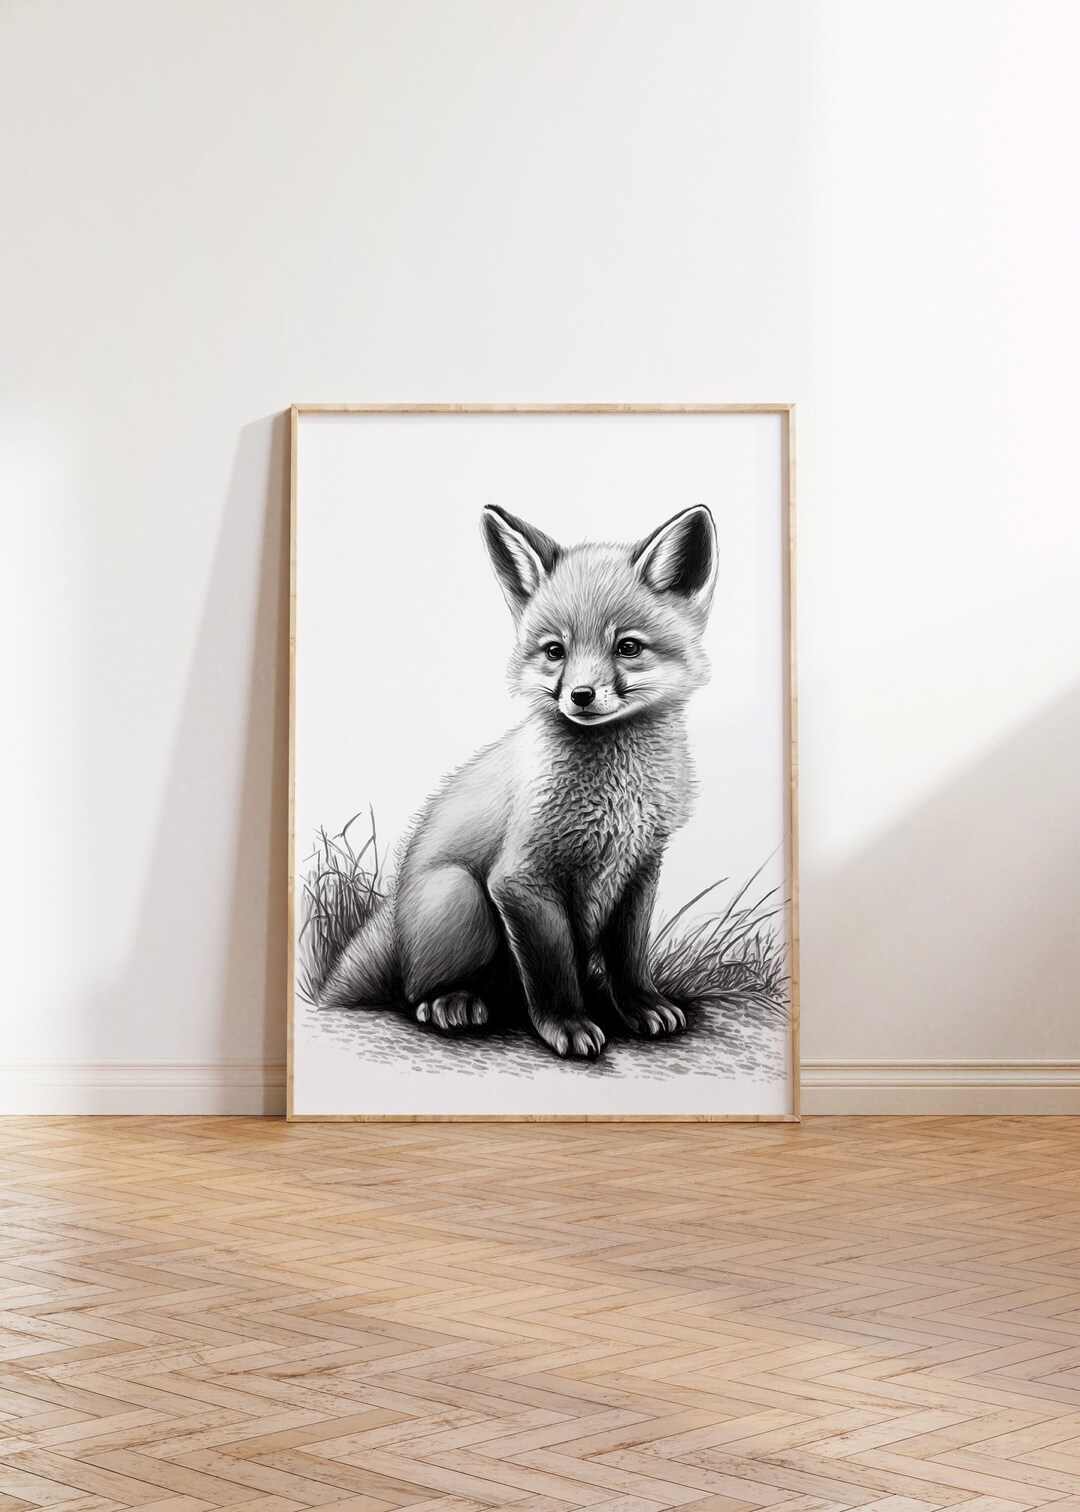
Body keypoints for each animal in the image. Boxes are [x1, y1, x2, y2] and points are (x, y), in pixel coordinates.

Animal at [321, 501, 719, 1059]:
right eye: (554, 651)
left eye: (628, 647)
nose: (579, 695)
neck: (617, 795)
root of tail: (394, 911)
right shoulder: (519, 879)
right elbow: (553, 968)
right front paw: (567, 1024)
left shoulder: (640, 868)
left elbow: (628, 956)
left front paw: (641, 1005)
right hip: (458, 894)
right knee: (415, 991)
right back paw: (451, 1001)